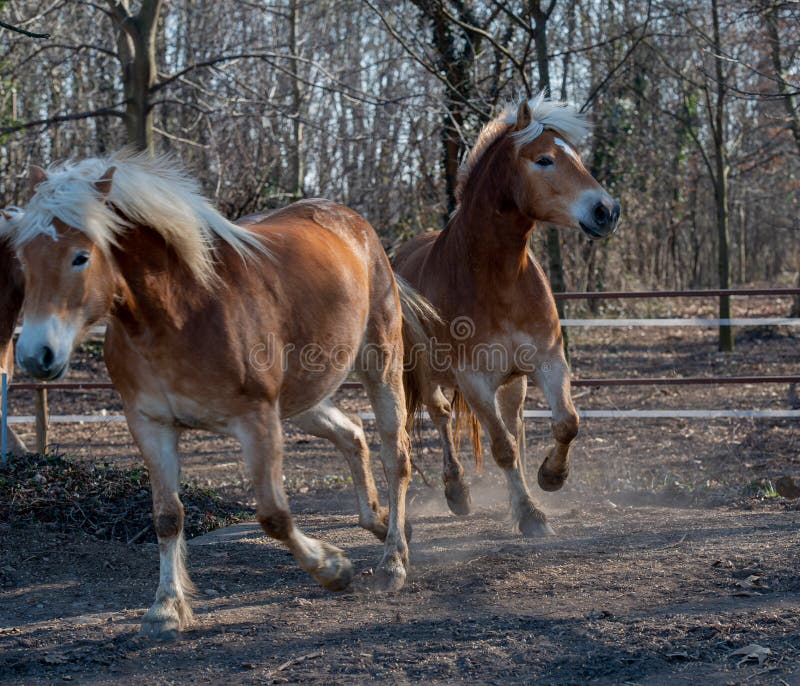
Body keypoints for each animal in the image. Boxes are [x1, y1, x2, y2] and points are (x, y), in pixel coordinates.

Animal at [11, 152, 412, 639]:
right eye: (23, 258)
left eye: (80, 257)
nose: (36, 355)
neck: (179, 314)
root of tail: (352, 221)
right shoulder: (150, 424)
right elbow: (167, 516)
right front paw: (166, 608)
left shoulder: (257, 420)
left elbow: (273, 515)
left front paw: (332, 568)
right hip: (302, 401)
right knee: (351, 434)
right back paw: (377, 522)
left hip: (379, 365)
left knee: (395, 454)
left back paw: (392, 562)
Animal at [394, 93, 620, 535]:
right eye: (544, 159)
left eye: (579, 157)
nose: (606, 211)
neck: (498, 278)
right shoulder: (474, 380)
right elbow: (501, 447)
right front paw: (531, 516)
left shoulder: (549, 361)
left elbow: (566, 422)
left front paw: (551, 478)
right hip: (426, 377)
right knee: (438, 418)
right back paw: (456, 493)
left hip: (513, 382)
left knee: (507, 422)